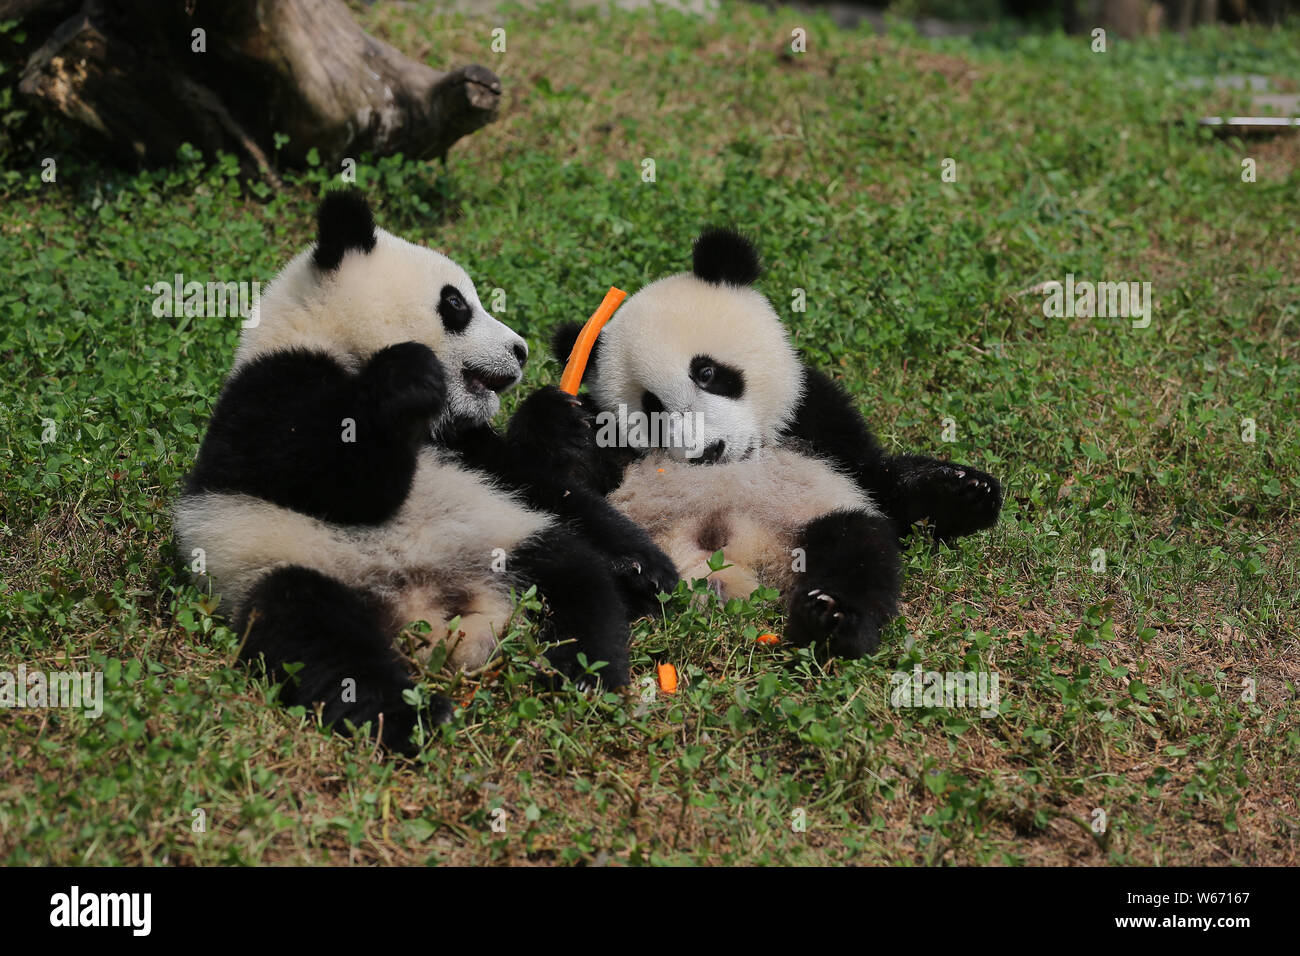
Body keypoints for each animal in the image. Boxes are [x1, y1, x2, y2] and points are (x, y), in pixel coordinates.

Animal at [174, 190, 676, 751]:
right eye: (456, 303)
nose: (521, 350)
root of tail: (435, 612)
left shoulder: (463, 445)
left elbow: (540, 481)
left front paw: (642, 561)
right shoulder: (267, 394)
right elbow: (340, 481)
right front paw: (406, 375)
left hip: (506, 538)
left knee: (577, 579)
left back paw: (587, 673)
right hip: (283, 563)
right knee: (315, 633)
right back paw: (415, 718)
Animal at [536, 228, 1003, 659]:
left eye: (706, 372)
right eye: (651, 406)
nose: (709, 451)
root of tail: (735, 571)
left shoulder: (813, 415)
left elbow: (877, 482)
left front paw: (965, 490)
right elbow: (559, 484)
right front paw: (555, 420)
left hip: (806, 518)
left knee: (856, 543)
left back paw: (830, 620)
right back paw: (632, 577)